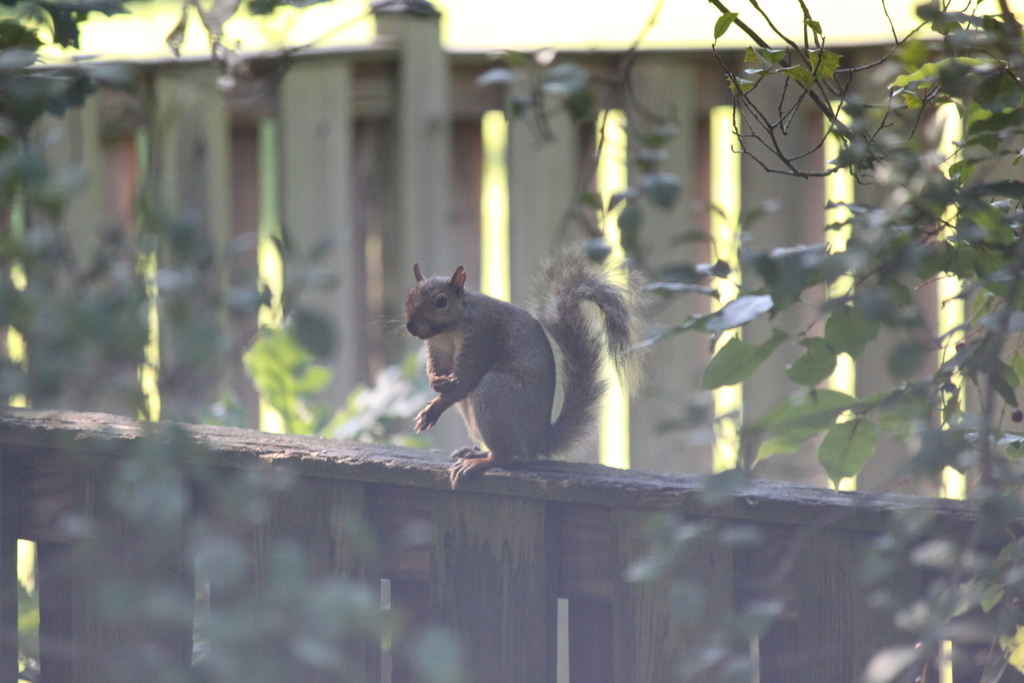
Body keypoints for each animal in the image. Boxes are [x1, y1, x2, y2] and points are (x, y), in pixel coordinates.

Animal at [404, 249, 644, 487]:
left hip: (494, 392)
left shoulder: (482, 337)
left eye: (441, 302)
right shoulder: (437, 349)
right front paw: (436, 381)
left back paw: (479, 462)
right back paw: (474, 453)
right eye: (408, 296)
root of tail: (538, 439)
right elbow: (437, 369)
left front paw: (433, 410)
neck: (447, 331)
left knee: (507, 455)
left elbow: (466, 379)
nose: (411, 326)